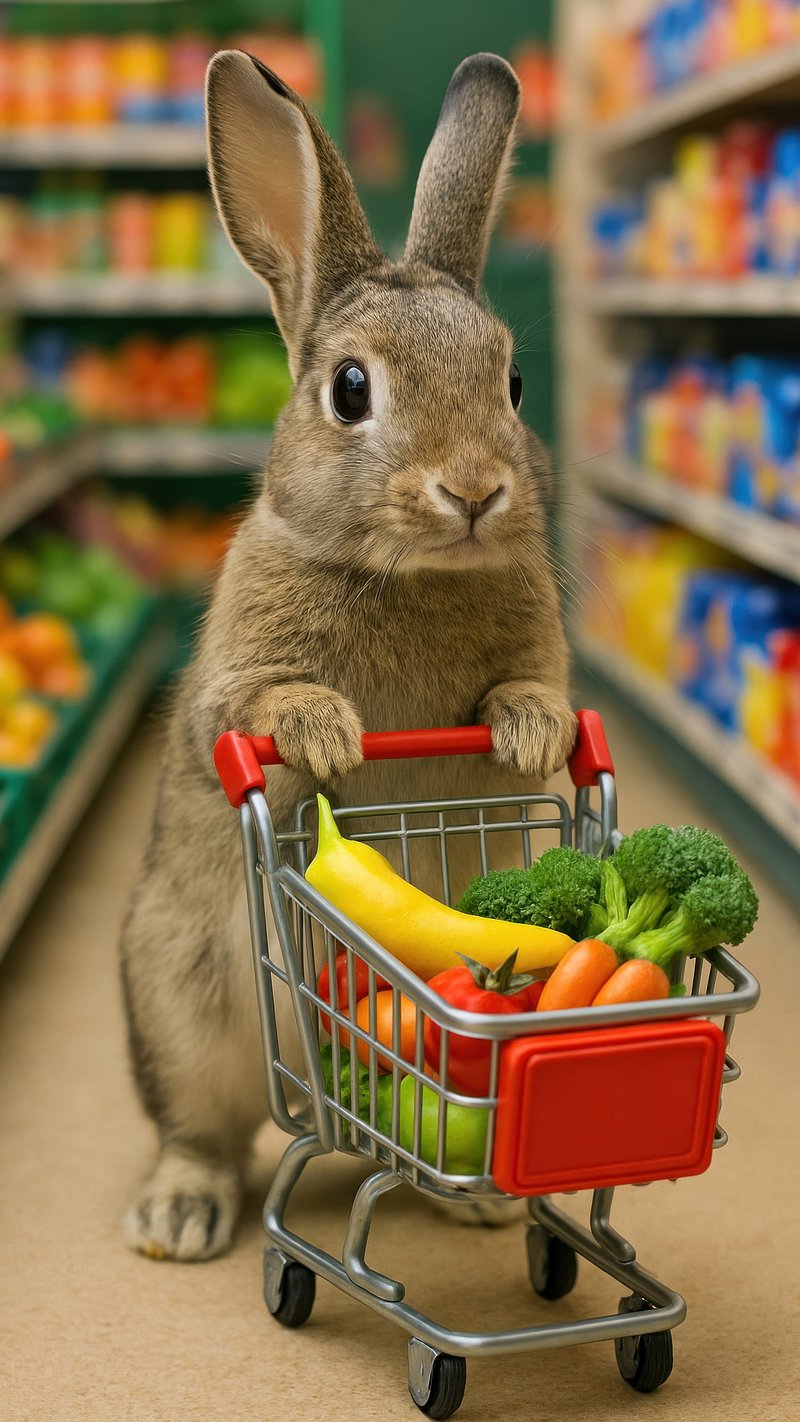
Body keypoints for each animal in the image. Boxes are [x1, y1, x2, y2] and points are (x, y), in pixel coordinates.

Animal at [119, 49, 576, 1263]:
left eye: (512, 385)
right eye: (351, 390)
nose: (474, 492)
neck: (407, 573)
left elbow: (536, 683)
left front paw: (533, 729)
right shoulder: (229, 682)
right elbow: (252, 702)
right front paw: (325, 729)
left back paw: (484, 1199)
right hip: (177, 1003)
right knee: (203, 1129)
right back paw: (178, 1215)